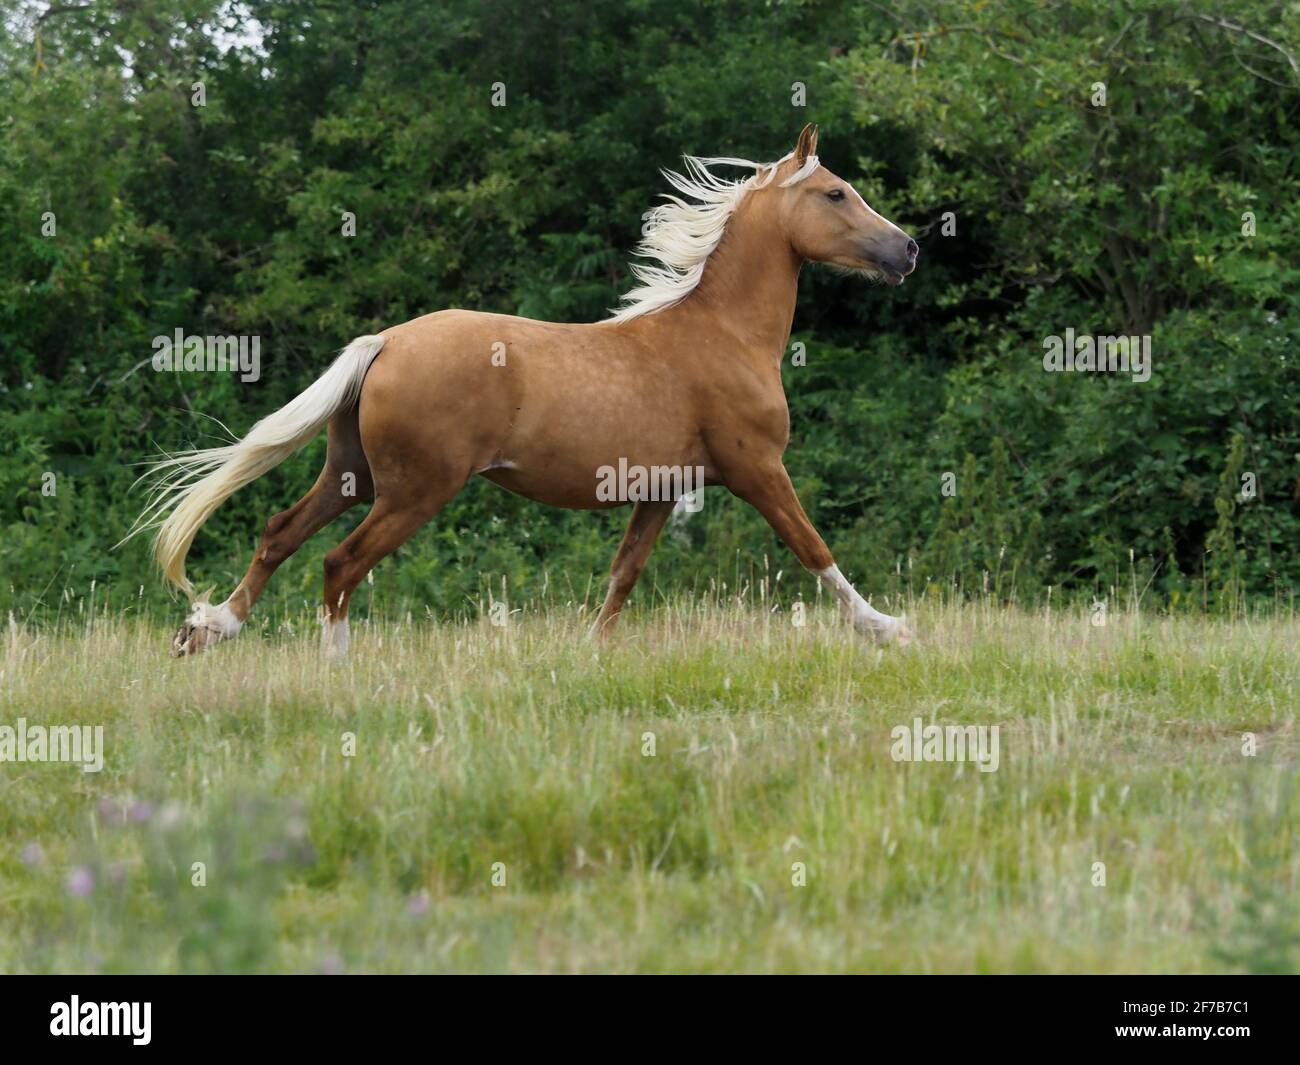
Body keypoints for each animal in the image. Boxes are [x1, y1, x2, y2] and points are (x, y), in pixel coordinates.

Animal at [130, 124, 918, 658]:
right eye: (835, 192)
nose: (907, 248)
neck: (723, 334)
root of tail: (385, 342)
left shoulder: (661, 490)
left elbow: (623, 577)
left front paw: (590, 653)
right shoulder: (757, 468)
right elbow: (814, 548)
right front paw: (888, 629)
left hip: (354, 474)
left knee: (279, 533)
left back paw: (206, 628)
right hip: (416, 489)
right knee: (339, 562)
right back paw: (334, 666)